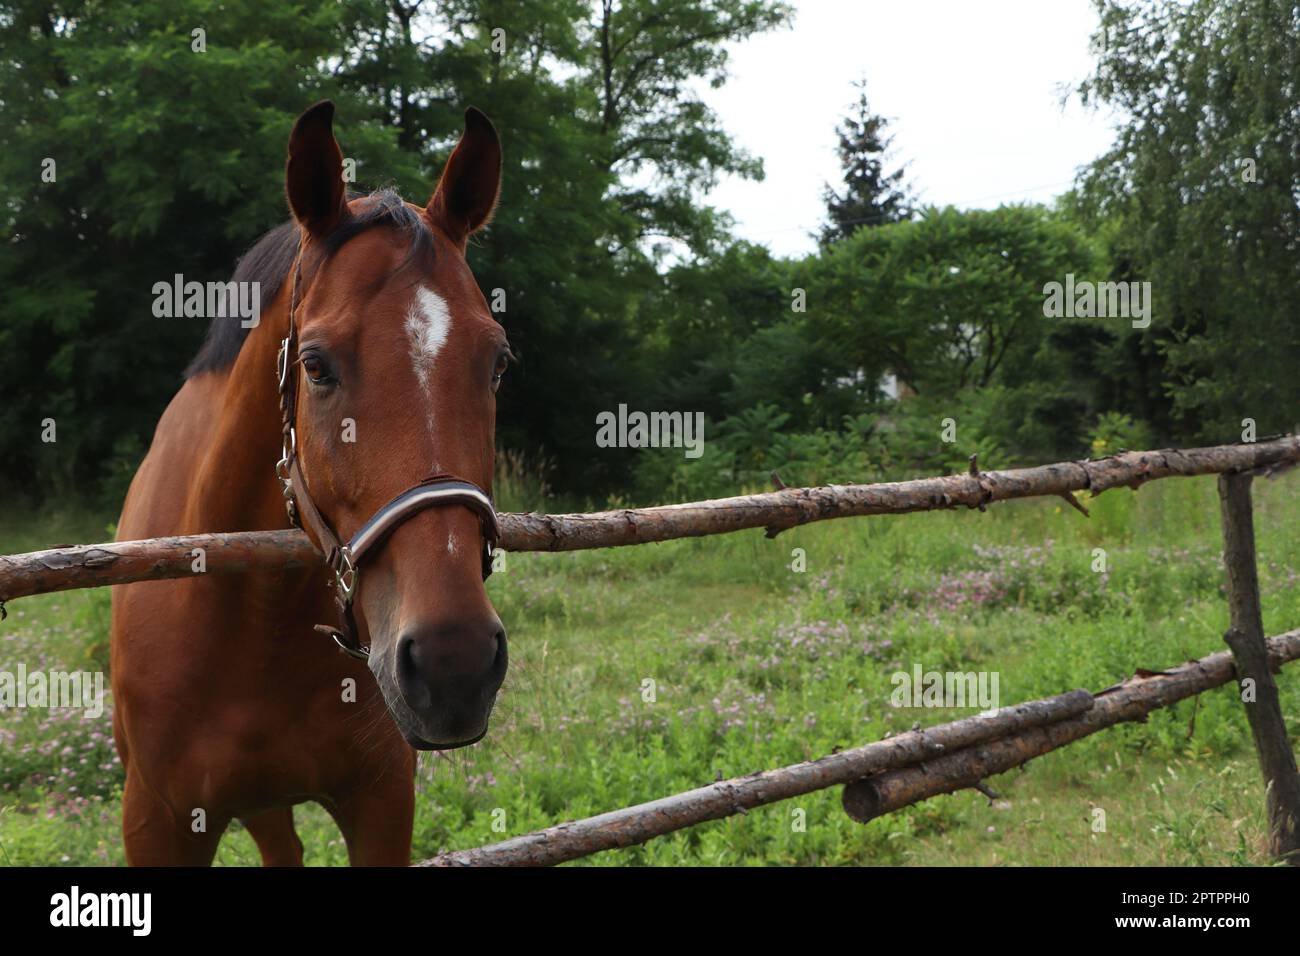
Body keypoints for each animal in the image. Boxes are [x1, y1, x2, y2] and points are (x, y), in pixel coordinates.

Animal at [110, 101, 510, 865]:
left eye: (498, 361)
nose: (455, 661)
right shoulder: (157, 821)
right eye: (317, 366)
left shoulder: (382, 802)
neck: (249, 616)